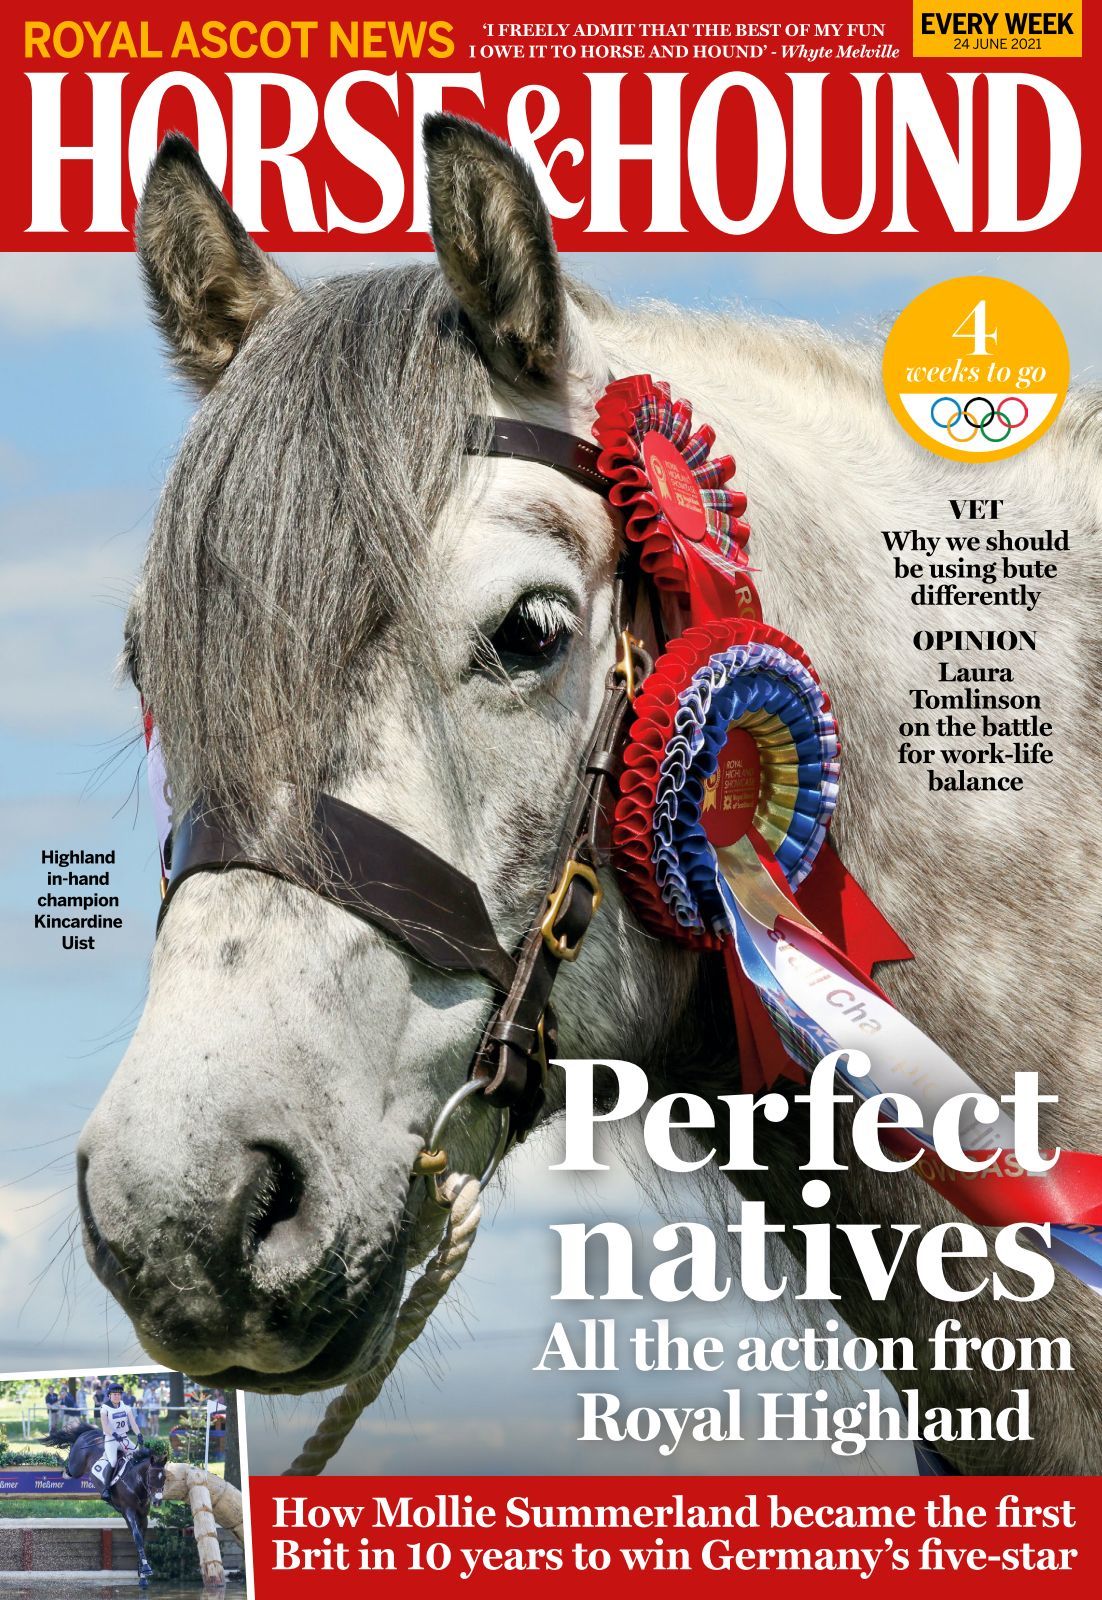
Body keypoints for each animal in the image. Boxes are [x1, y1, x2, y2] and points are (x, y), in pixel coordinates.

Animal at [62, 1423, 166, 1586]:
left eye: (165, 1478)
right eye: (152, 1477)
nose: (158, 1501)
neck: (135, 1482)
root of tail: (89, 1432)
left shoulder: (142, 1516)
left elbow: (140, 1538)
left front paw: (142, 1574)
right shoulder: (129, 1512)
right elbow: (137, 1538)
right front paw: (146, 1568)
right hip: (76, 1468)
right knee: (70, 1468)